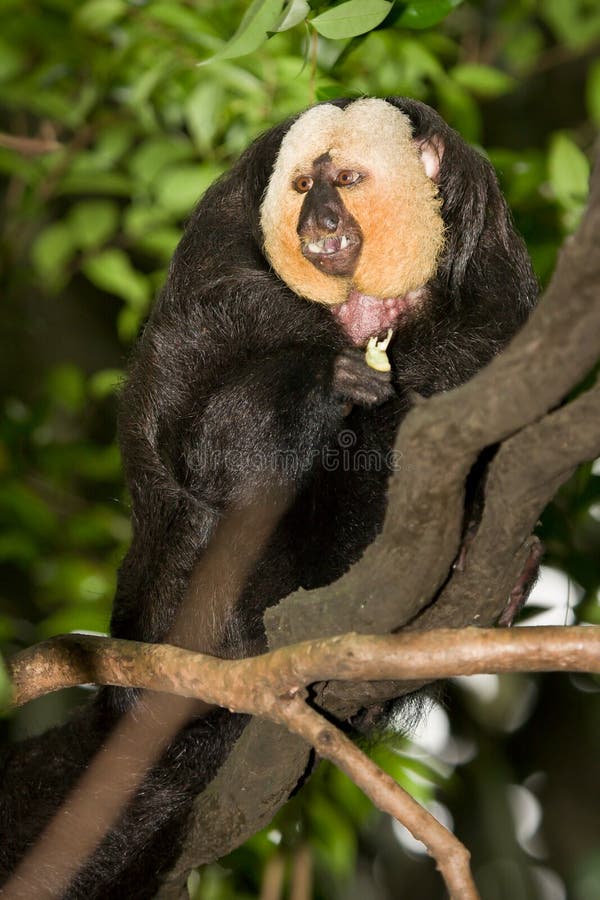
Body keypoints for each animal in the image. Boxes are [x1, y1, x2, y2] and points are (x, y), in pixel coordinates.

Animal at [0, 97, 538, 898]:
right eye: (301, 187)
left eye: (347, 181)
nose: (319, 220)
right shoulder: (219, 264)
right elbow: (194, 435)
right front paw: (327, 380)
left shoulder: (496, 272)